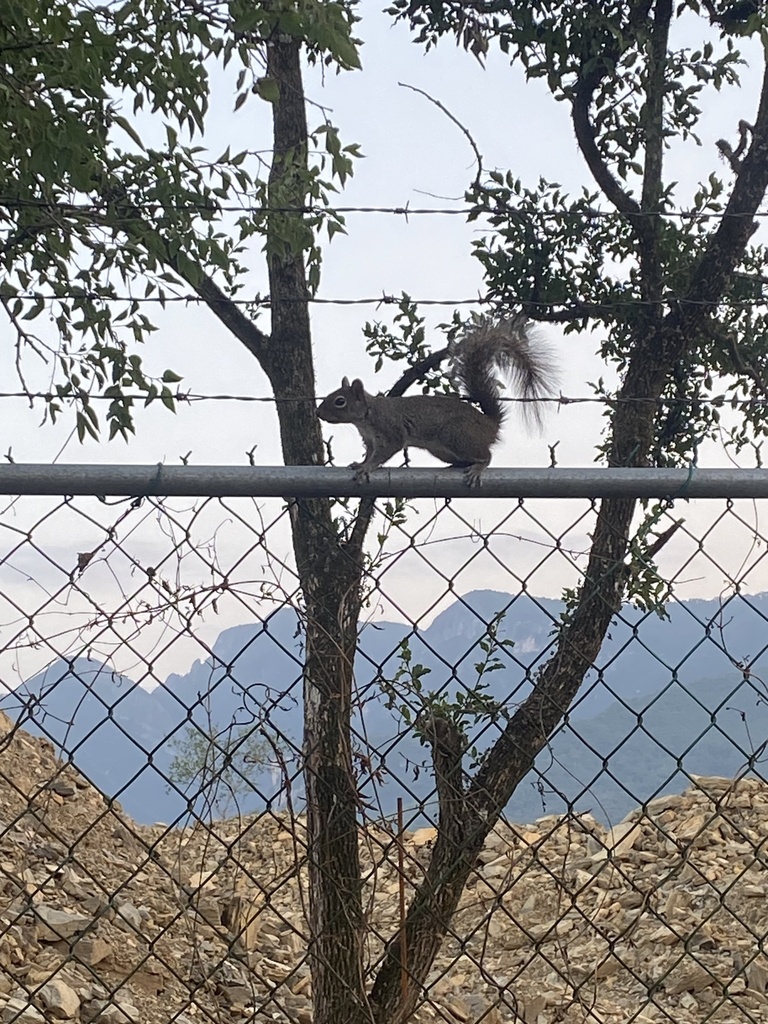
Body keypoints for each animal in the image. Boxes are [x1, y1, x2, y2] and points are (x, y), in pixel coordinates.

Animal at [317, 314, 557, 486]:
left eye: (340, 401)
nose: (318, 413)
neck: (367, 416)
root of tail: (490, 424)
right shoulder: (369, 440)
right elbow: (368, 454)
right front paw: (360, 463)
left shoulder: (390, 431)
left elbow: (385, 452)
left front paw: (368, 468)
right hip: (443, 449)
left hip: (456, 435)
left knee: (486, 456)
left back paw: (478, 468)